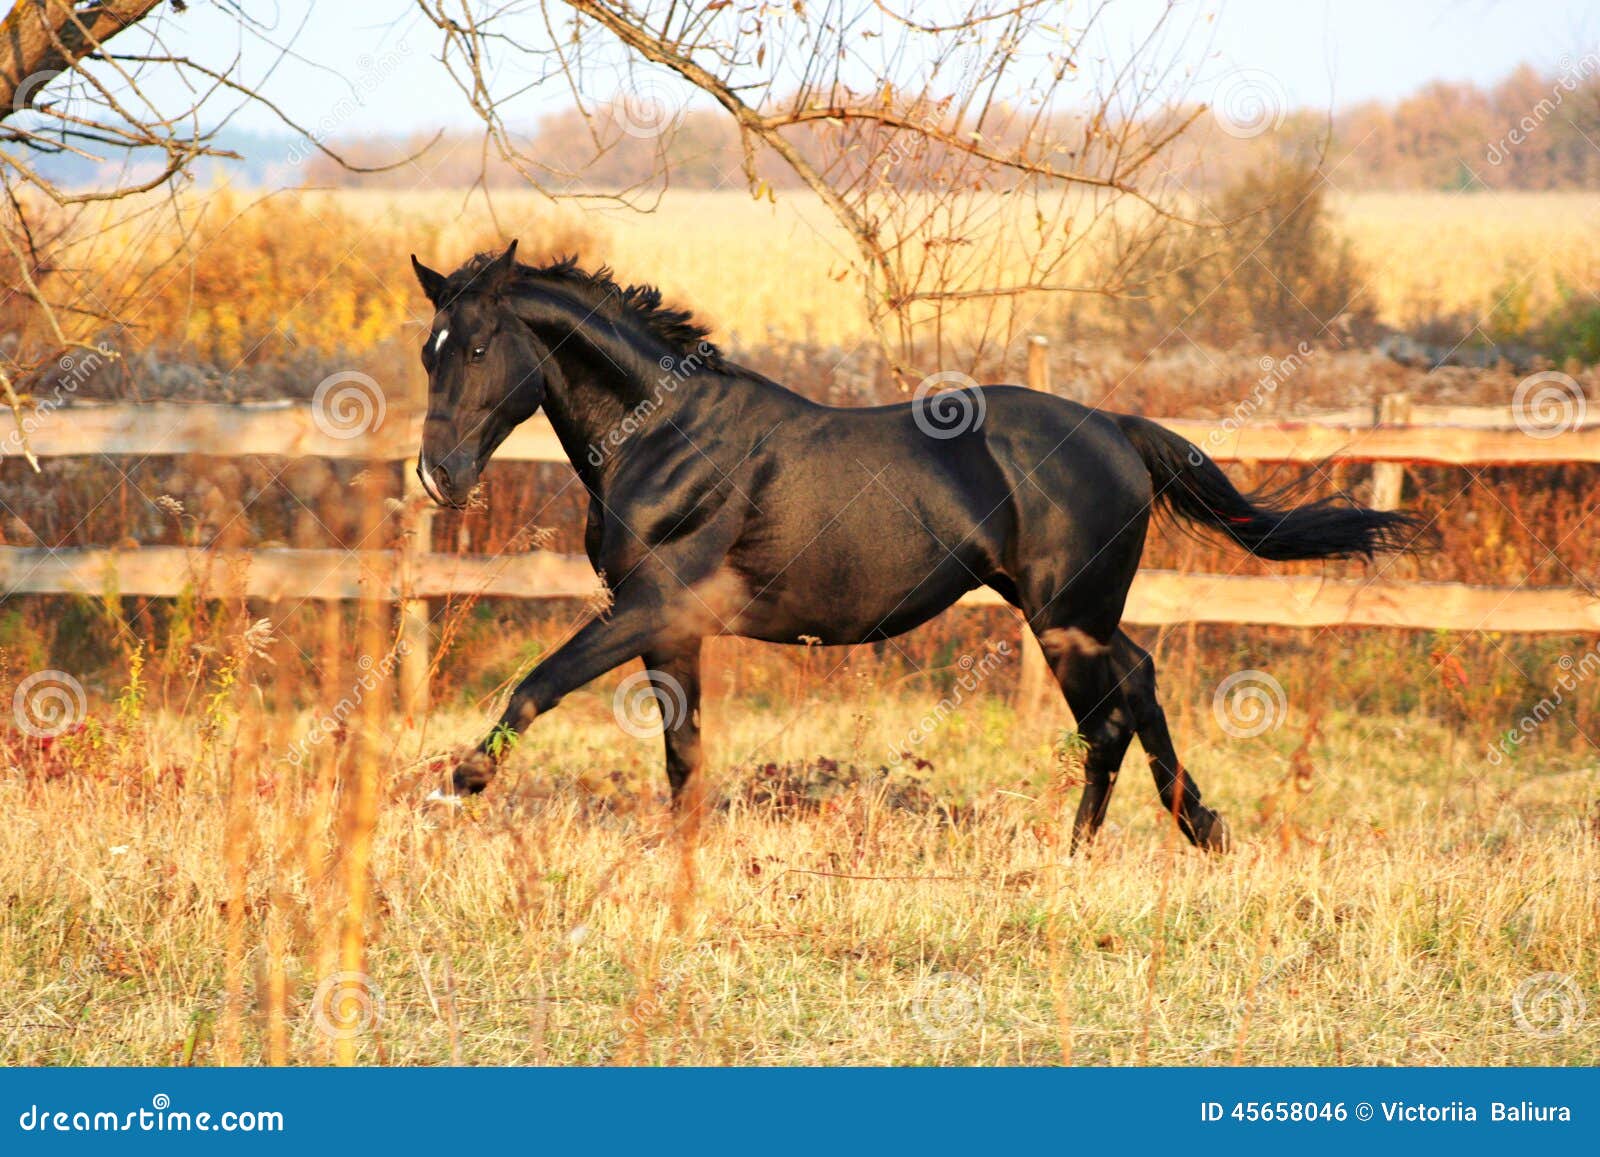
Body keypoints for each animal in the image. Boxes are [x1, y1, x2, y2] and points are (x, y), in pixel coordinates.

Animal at [409, 241, 1420, 851]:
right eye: (429, 350)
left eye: (477, 347)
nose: (439, 476)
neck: (667, 436)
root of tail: (1116, 428)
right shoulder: (672, 628)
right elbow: (681, 751)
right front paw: (684, 857)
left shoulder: (649, 607)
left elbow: (538, 682)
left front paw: (456, 784)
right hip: (1065, 609)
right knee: (1134, 689)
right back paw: (1175, 832)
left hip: (1066, 615)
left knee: (1112, 713)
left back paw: (1092, 851)